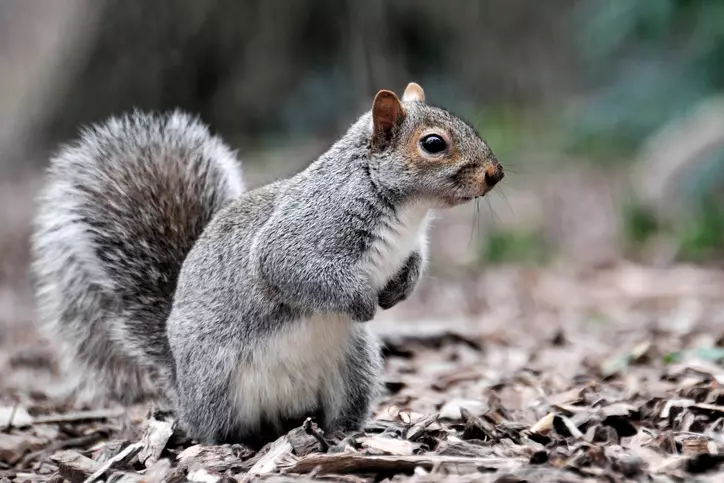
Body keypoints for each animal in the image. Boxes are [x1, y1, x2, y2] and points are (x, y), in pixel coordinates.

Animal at [29, 82, 504, 446]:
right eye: (433, 144)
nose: (495, 173)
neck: (409, 212)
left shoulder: (411, 246)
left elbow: (414, 266)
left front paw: (395, 292)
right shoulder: (303, 235)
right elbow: (290, 270)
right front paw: (363, 302)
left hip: (355, 370)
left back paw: (349, 433)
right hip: (217, 382)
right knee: (213, 430)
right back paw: (231, 444)